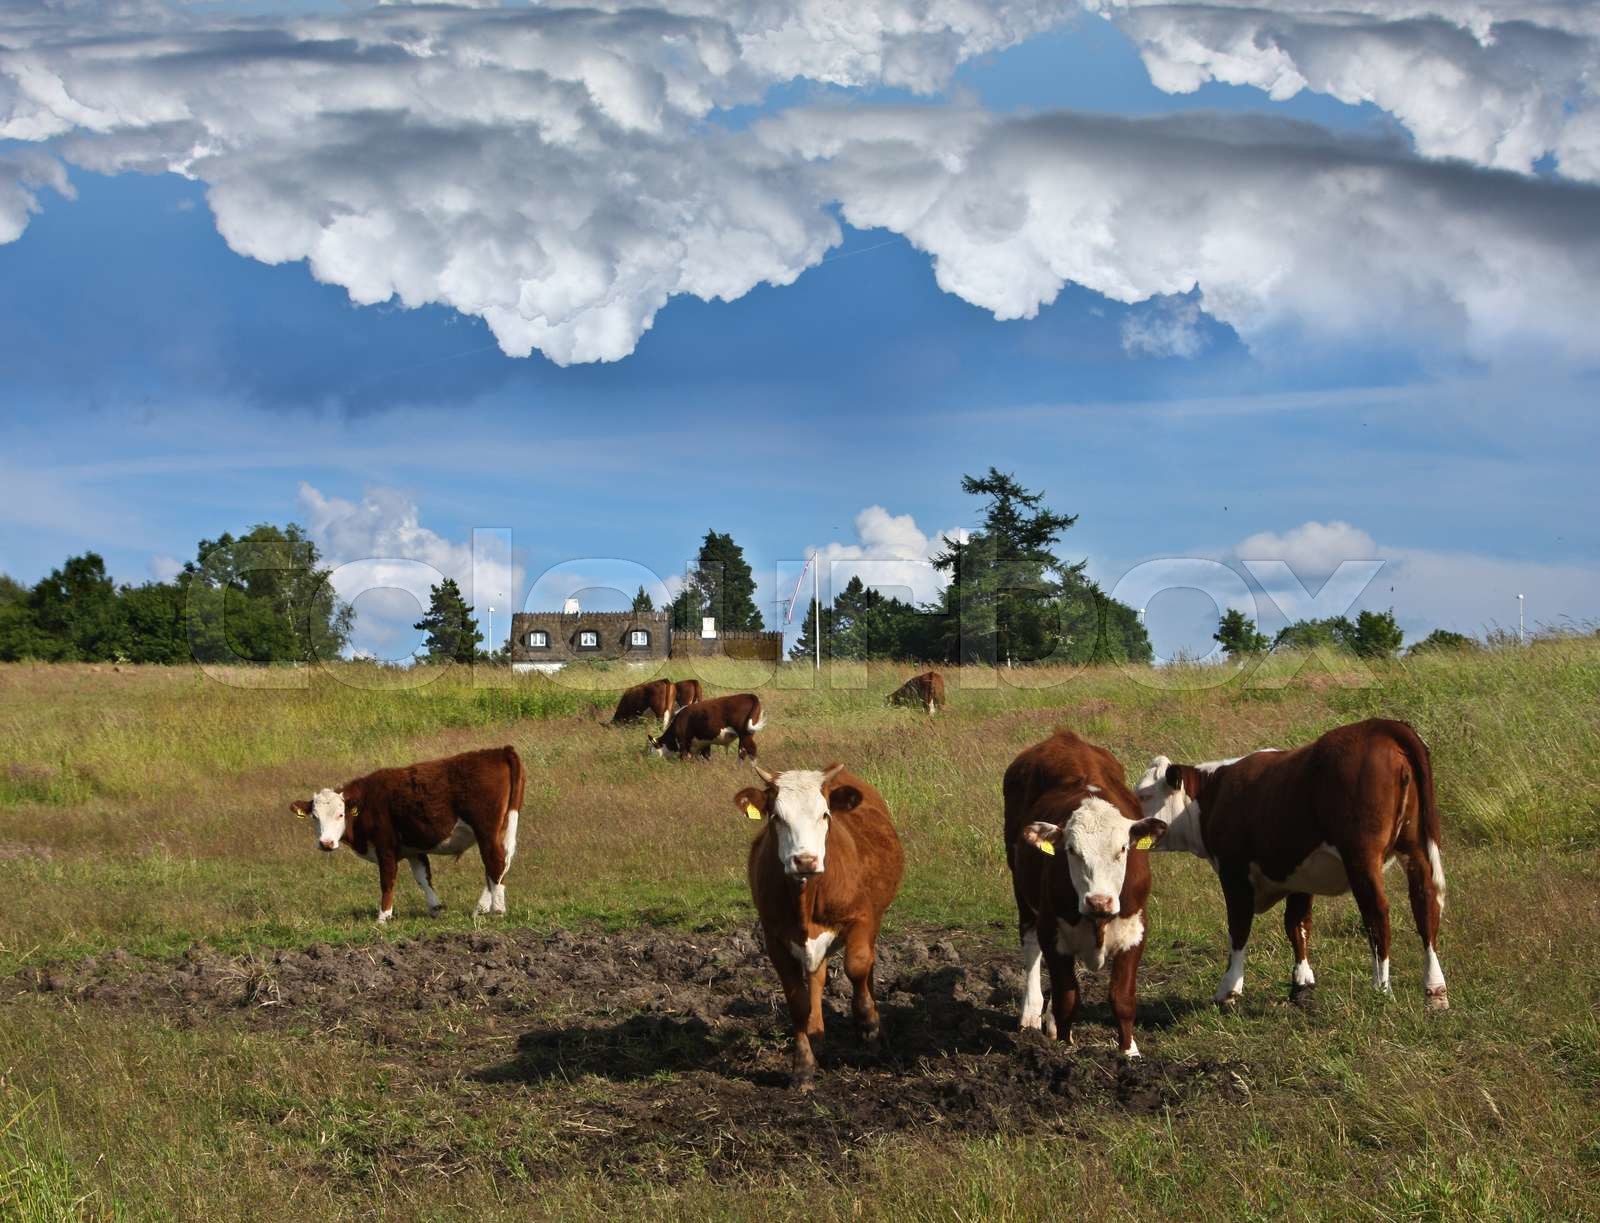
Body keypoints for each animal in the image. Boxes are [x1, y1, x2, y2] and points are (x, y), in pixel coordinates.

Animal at [290, 746, 523, 923]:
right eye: (314, 817)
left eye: (340, 814)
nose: (326, 843)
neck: (367, 801)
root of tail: (500, 751)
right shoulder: (413, 849)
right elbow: (423, 877)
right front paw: (435, 908)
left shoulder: (385, 847)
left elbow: (387, 881)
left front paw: (383, 917)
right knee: (498, 866)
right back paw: (481, 909)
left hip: (487, 830)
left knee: (496, 862)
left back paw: (497, 910)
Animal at [735, 762, 904, 1090]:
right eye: (776, 817)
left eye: (824, 814)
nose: (805, 860)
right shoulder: (774, 938)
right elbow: (798, 1001)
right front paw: (803, 1066)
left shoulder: (862, 918)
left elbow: (857, 966)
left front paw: (868, 1024)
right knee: (817, 975)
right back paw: (817, 1033)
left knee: (867, 963)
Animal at [1004, 730, 1169, 1057]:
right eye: (1071, 850)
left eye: (1123, 849)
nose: (1099, 901)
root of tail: (1064, 738)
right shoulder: (1051, 929)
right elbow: (1068, 996)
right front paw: (1065, 1047)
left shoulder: (1136, 928)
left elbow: (1122, 997)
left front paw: (1129, 1052)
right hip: (1022, 890)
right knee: (1030, 946)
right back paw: (1031, 1014)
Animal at [1134, 718, 1448, 1011]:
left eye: (1145, 795)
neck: (1211, 796)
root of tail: (1380, 726)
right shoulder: (1300, 873)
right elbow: (1297, 924)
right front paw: (1302, 985)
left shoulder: (1234, 871)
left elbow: (1238, 926)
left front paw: (1228, 990)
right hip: (1415, 849)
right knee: (1426, 904)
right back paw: (1435, 989)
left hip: (1362, 857)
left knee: (1377, 914)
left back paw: (1380, 990)